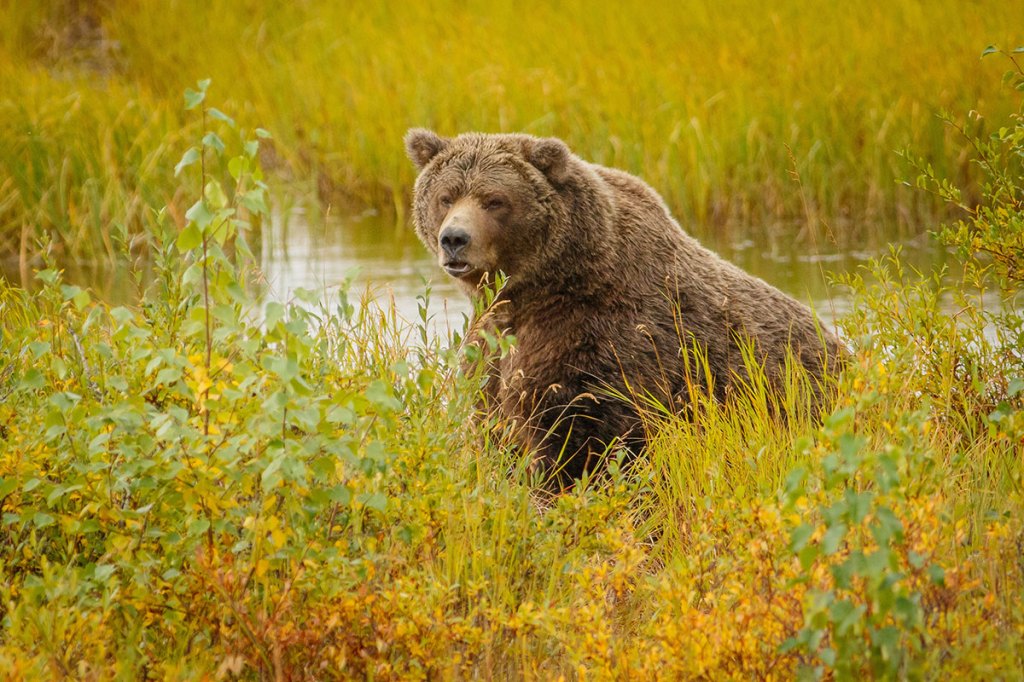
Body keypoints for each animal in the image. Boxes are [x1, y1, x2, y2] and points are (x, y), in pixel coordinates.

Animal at [405, 129, 844, 484]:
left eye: (494, 200)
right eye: (445, 196)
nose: (454, 239)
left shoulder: (602, 341)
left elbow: (583, 435)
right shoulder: (492, 345)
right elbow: (492, 419)